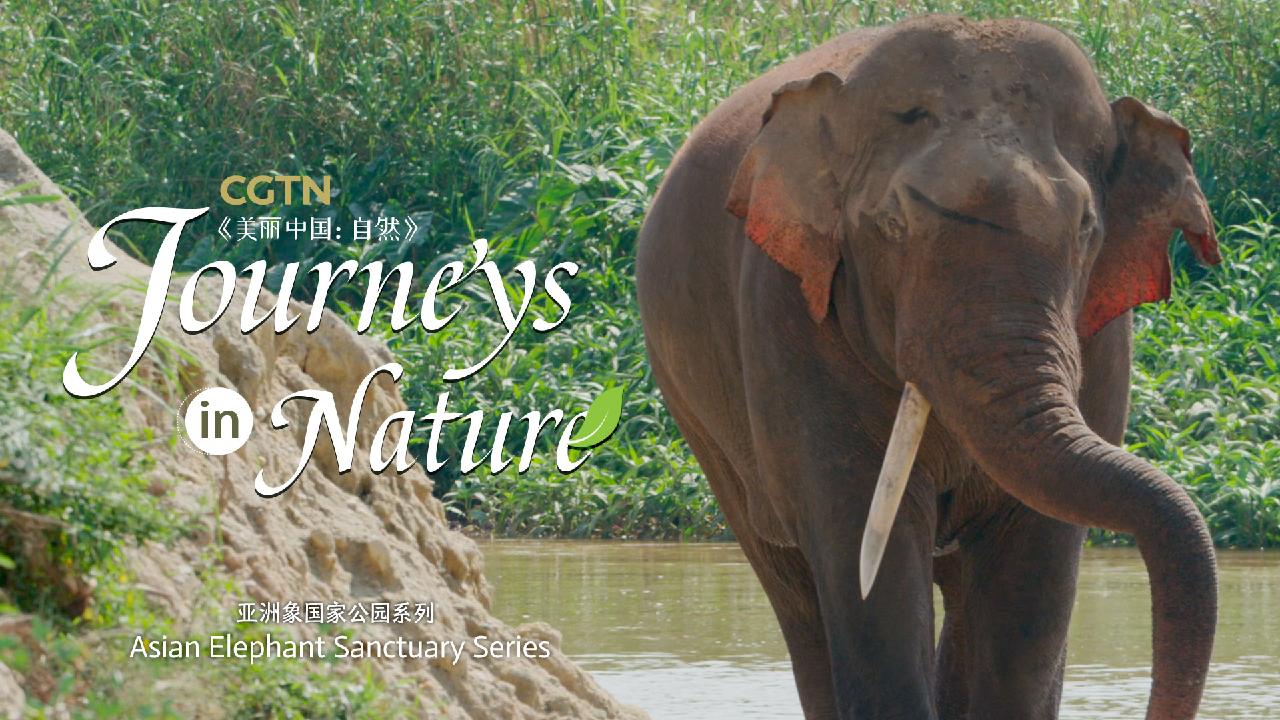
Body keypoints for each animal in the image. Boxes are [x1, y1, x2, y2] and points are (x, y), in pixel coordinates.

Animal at [635, 15, 1219, 720]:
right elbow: (864, 545)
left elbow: (1037, 561)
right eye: (891, 225)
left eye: (1085, 229)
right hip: (702, 424)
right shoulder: (787, 305)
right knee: (795, 591)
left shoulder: (1103, 340)